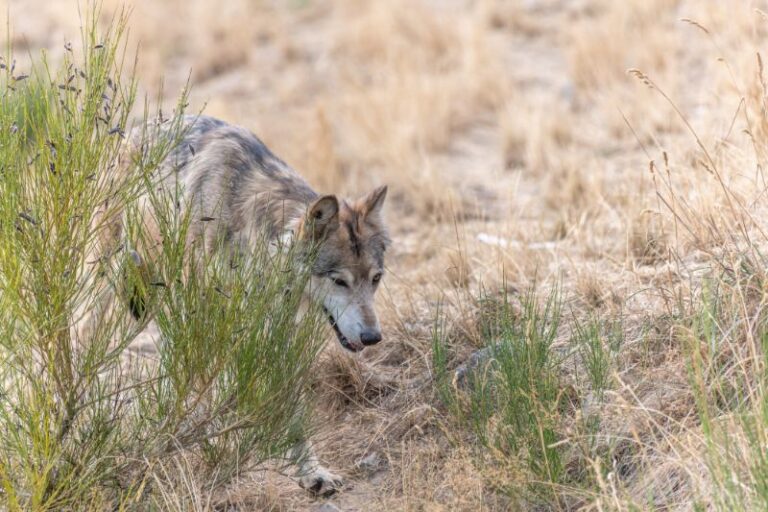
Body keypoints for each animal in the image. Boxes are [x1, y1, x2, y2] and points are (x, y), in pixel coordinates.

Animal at [99, 115, 390, 495]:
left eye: (376, 279)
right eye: (339, 281)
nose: (372, 337)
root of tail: (131, 126)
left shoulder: (278, 333)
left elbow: (291, 407)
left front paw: (312, 472)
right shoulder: (201, 314)